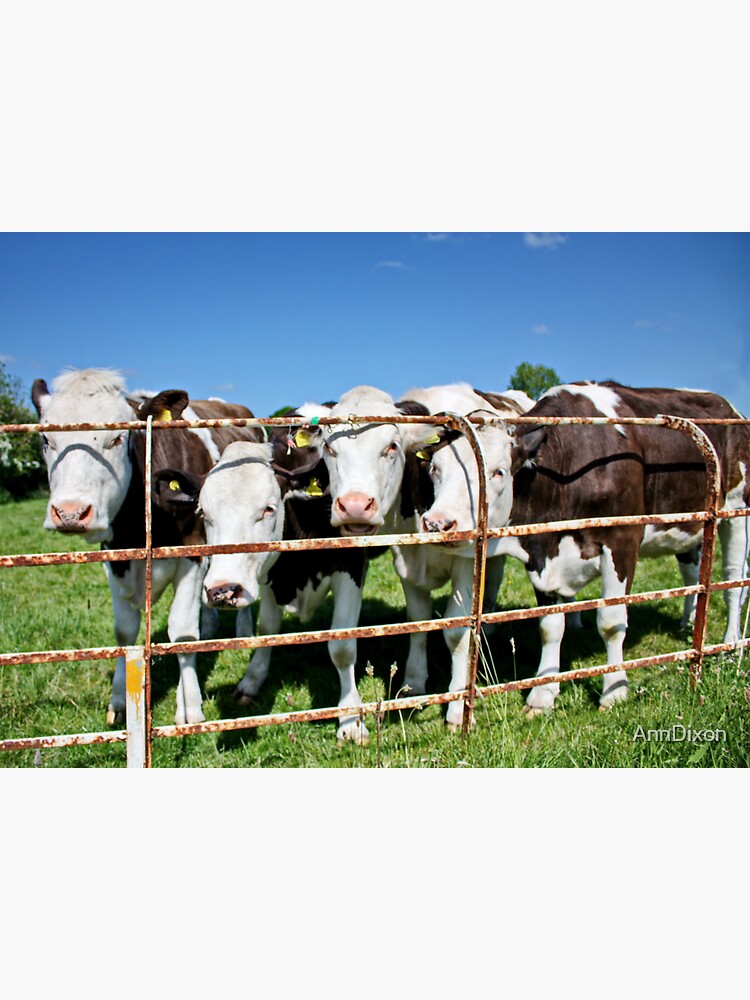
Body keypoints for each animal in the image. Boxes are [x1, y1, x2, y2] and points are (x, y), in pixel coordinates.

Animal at [31, 368, 263, 726]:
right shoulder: (115, 557)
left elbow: (182, 633)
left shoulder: (192, 552)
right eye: (46, 440)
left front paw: (190, 707)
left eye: (117, 438)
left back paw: (242, 629)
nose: (70, 512)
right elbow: (124, 632)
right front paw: (119, 701)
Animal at [497, 381, 750, 715]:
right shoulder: (540, 553)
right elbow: (550, 626)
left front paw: (614, 691)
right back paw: (689, 623)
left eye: (497, 472)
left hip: (737, 508)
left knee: (734, 579)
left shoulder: (622, 541)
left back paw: (730, 646)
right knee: (692, 571)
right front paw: (542, 695)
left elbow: (611, 623)